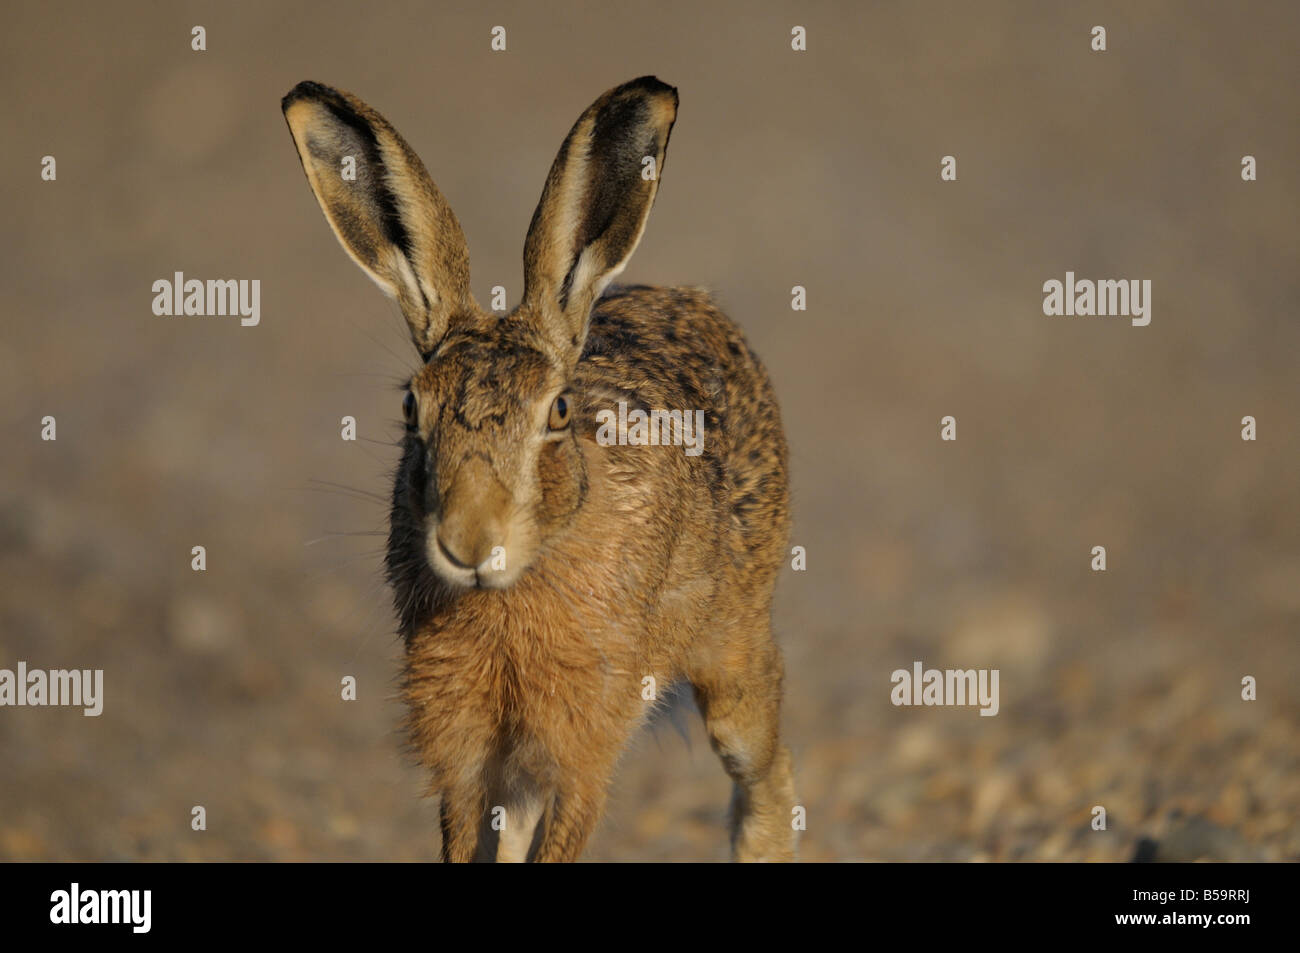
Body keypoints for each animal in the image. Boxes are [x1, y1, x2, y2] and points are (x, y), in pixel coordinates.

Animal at [282, 76, 796, 862]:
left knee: (763, 767)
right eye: (411, 405)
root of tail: (699, 306)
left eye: (558, 411)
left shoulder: (585, 735)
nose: (470, 542)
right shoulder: (468, 746)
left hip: (732, 643)